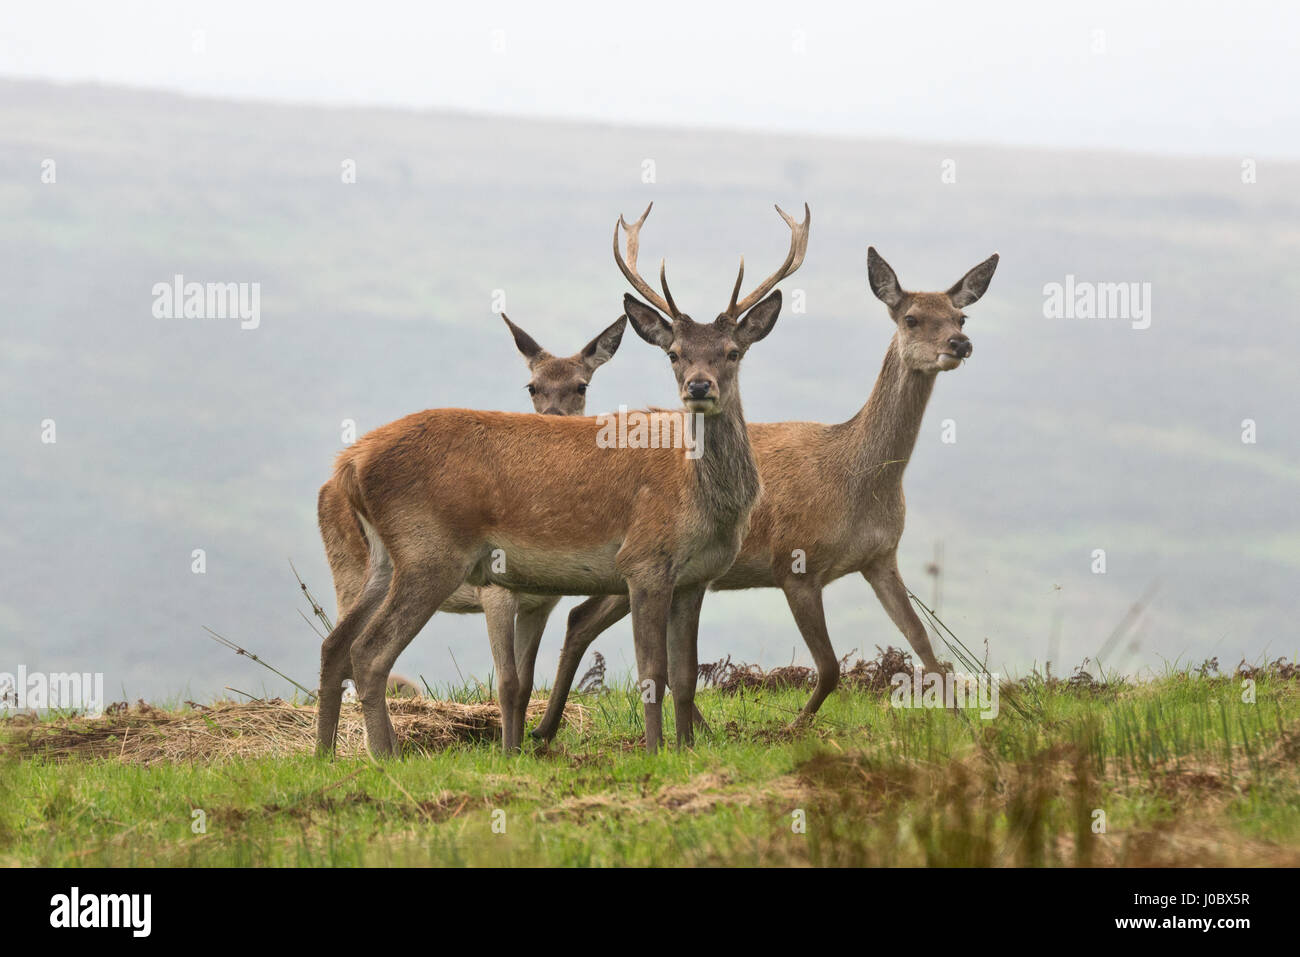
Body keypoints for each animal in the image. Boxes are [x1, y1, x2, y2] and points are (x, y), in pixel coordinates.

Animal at [316, 313, 628, 734]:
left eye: (581, 385)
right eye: (533, 386)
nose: (551, 419)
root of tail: (344, 468)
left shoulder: (542, 603)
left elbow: (525, 682)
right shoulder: (496, 591)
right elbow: (508, 681)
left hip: (379, 570)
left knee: (334, 647)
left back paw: (325, 748)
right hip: (364, 568)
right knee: (355, 649)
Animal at [530, 246, 999, 742]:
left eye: (960, 316)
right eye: (911, 318)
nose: (959, 344)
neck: (857, 482)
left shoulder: (881, 557)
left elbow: (927, 648)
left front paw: (966, 728)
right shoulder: (795, 561)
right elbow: (829, 667)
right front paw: (792, 728)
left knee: (582, 618)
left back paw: (550, 729)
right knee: (588, 620)